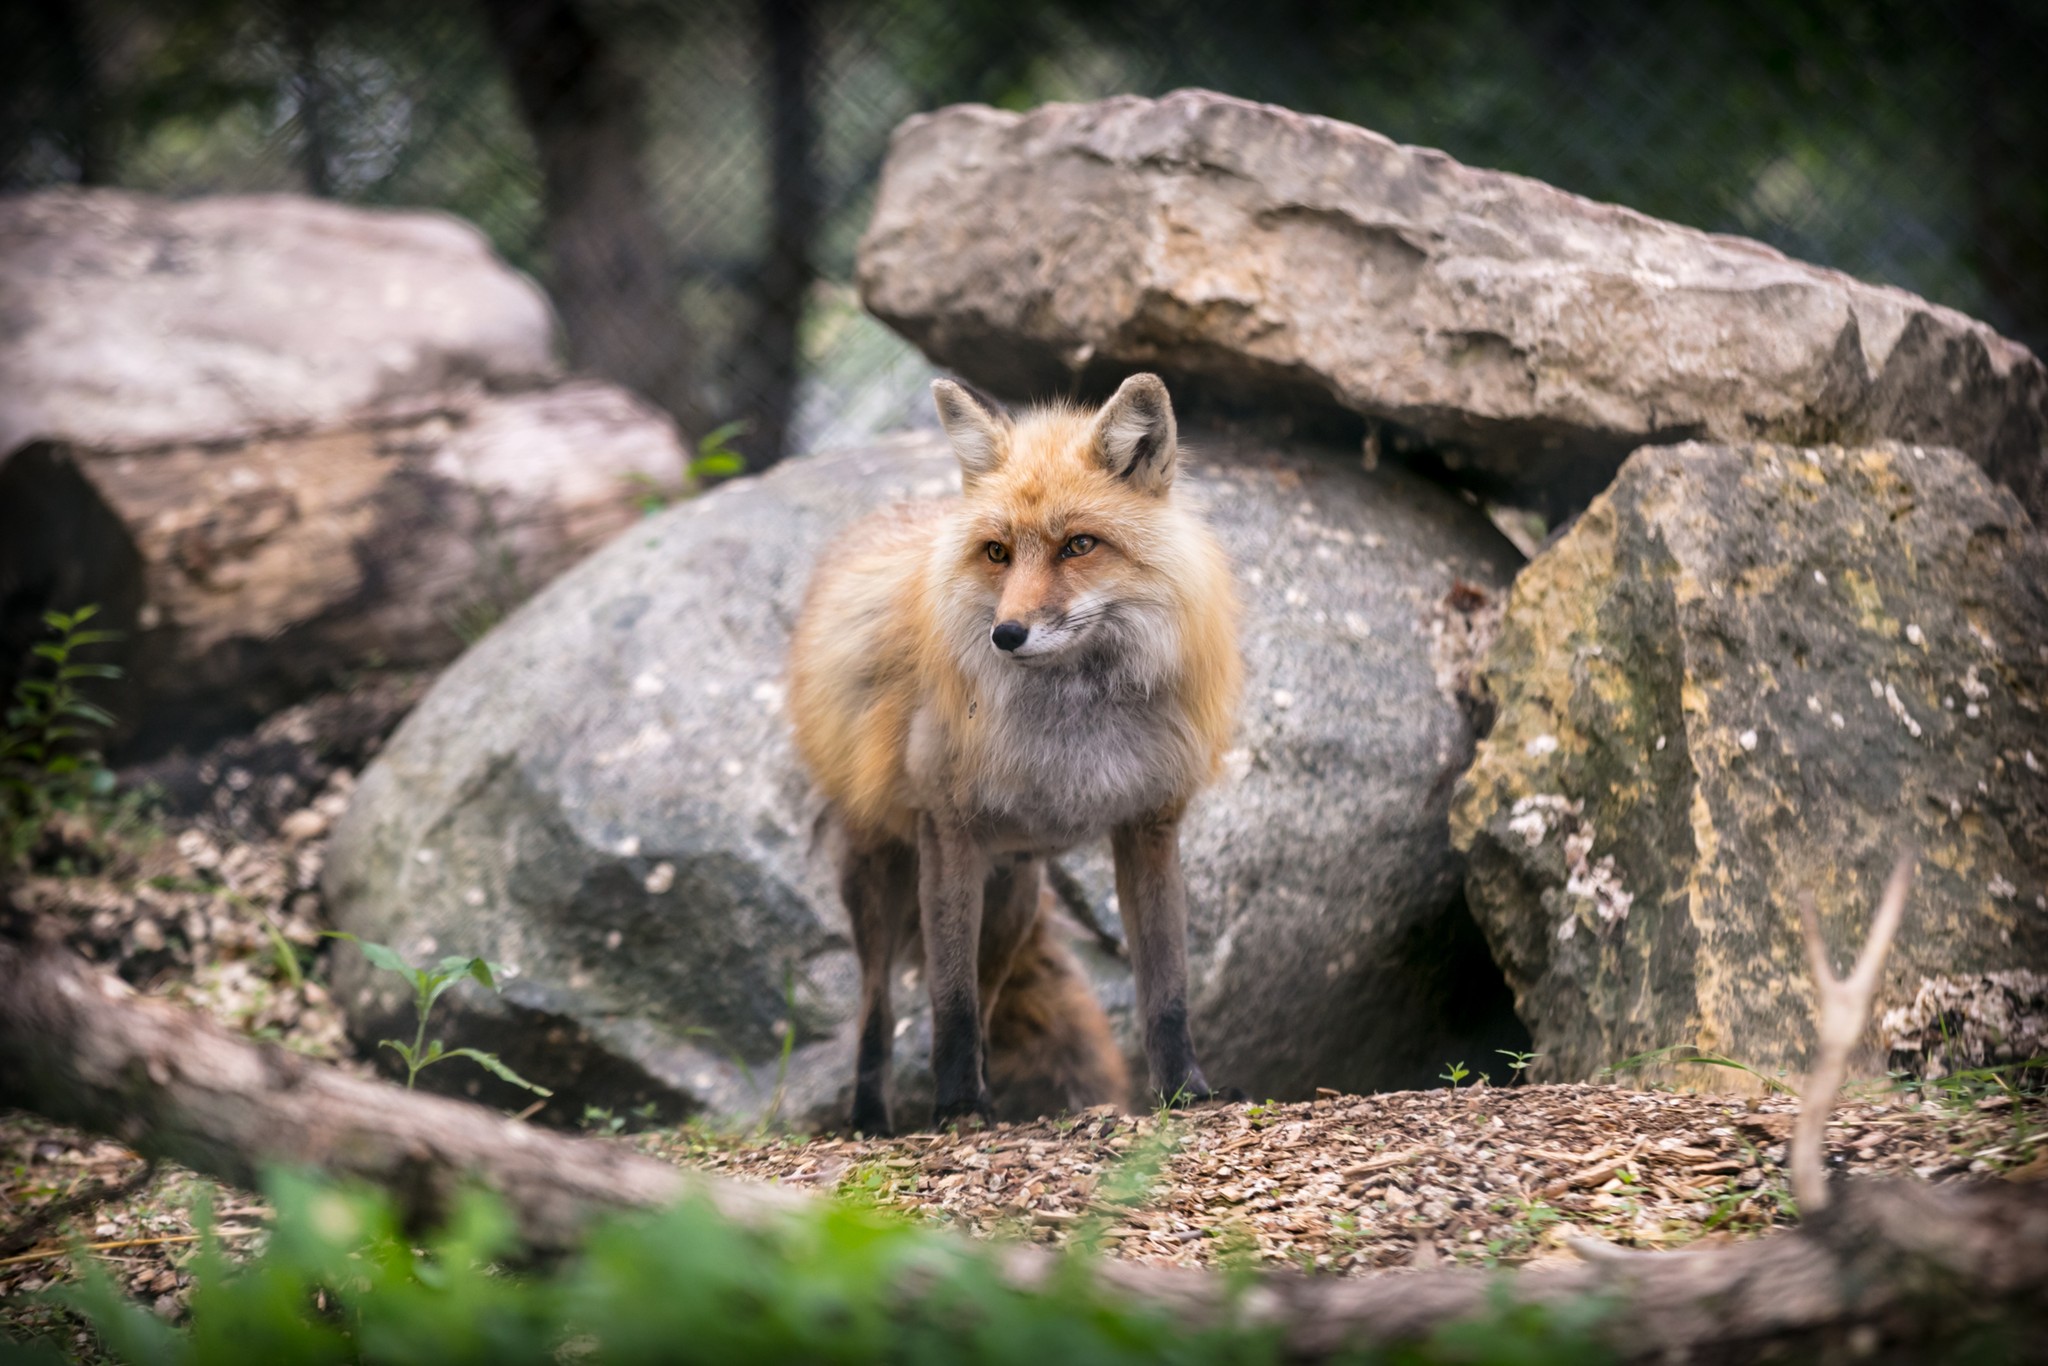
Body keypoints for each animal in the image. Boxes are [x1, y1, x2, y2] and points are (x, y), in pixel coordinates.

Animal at [788, 372, 1243, 1132]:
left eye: (1079, 545)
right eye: (997, 552)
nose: (1007, 634)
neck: (1074, 731)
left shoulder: (1148, 825)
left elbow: (1168, 990)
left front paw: (1187, 1092)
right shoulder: (947, 830)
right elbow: (950, 1003)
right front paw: (955, 1108)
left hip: (1012, 899)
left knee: (987, 994)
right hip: (884, 877)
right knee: (877, 1014)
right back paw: (873, 1117)